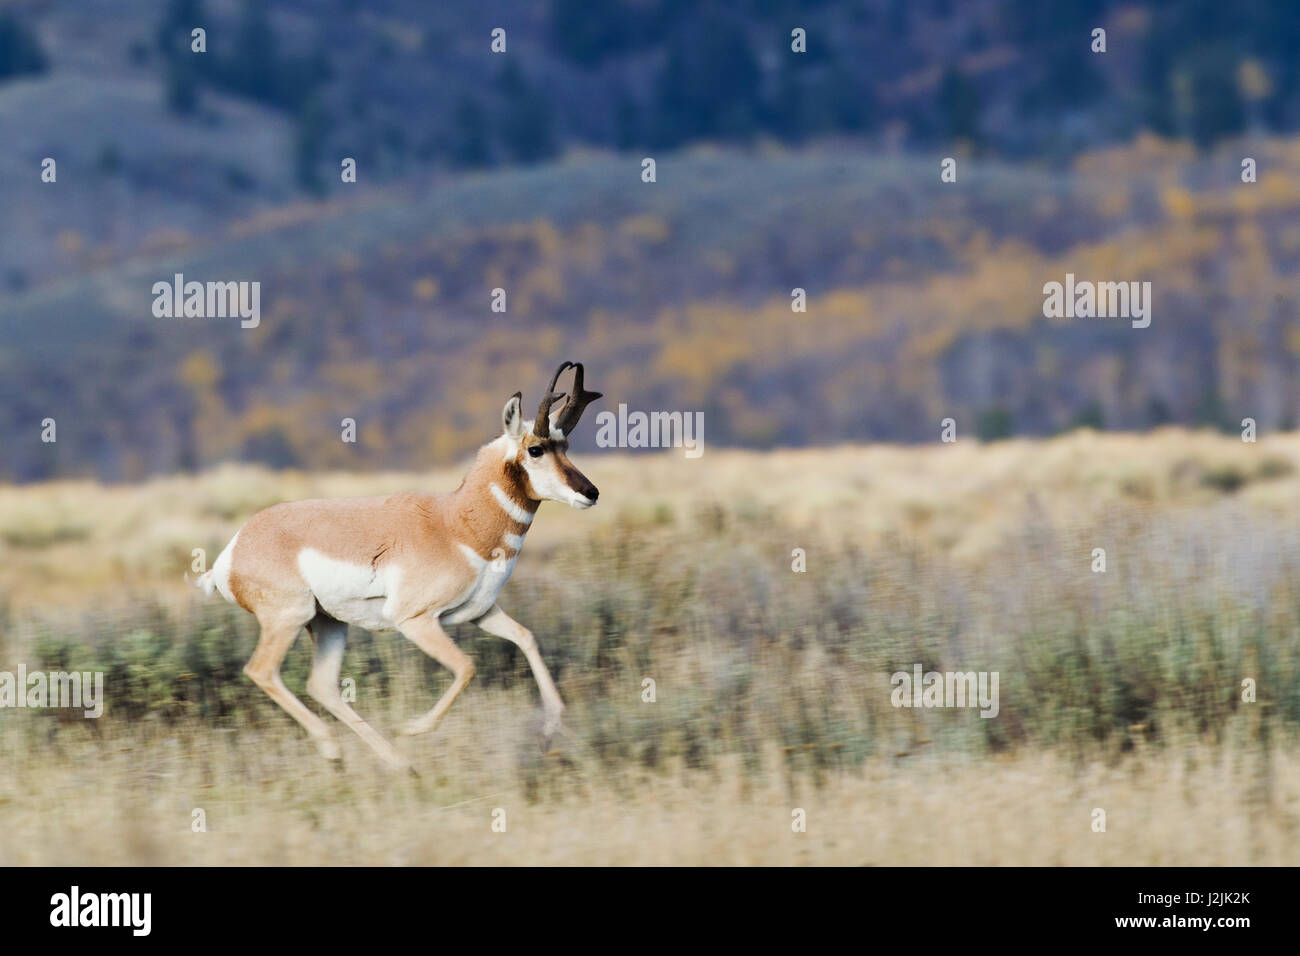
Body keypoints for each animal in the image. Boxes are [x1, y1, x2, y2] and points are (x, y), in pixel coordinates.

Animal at [193, 362, 602, 771]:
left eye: (565, 445)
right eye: (535, 449)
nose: (591, 492)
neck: (455, 523)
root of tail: (234, 549)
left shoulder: (480, 612)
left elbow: (526, 637)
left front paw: (551, 727)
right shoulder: (416, 620)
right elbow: (467, 666)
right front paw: (413, 728)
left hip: (328, 623)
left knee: (321, 686)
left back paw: (396, 763)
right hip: (289, 619)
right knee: (262, 671)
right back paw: (341, 749)